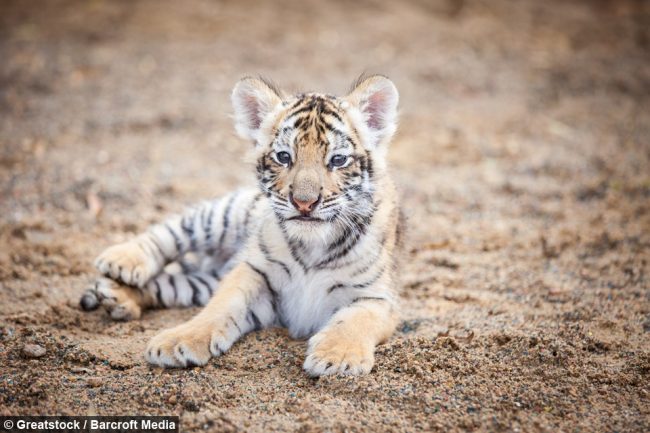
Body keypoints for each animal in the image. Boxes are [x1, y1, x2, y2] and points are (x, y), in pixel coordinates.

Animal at [80, 75, 403, 376]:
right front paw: (180, 340)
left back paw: (118, 296)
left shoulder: (376, 297)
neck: (313, 246)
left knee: (167, 284)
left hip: (204, 279)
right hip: (222, 215)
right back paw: (121, 261)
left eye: (338, 160)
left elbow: (355, 321)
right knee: (170, 232)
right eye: (284, 157)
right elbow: (219, 308)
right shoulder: (254, 272)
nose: (304, 203)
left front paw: (338, 357)